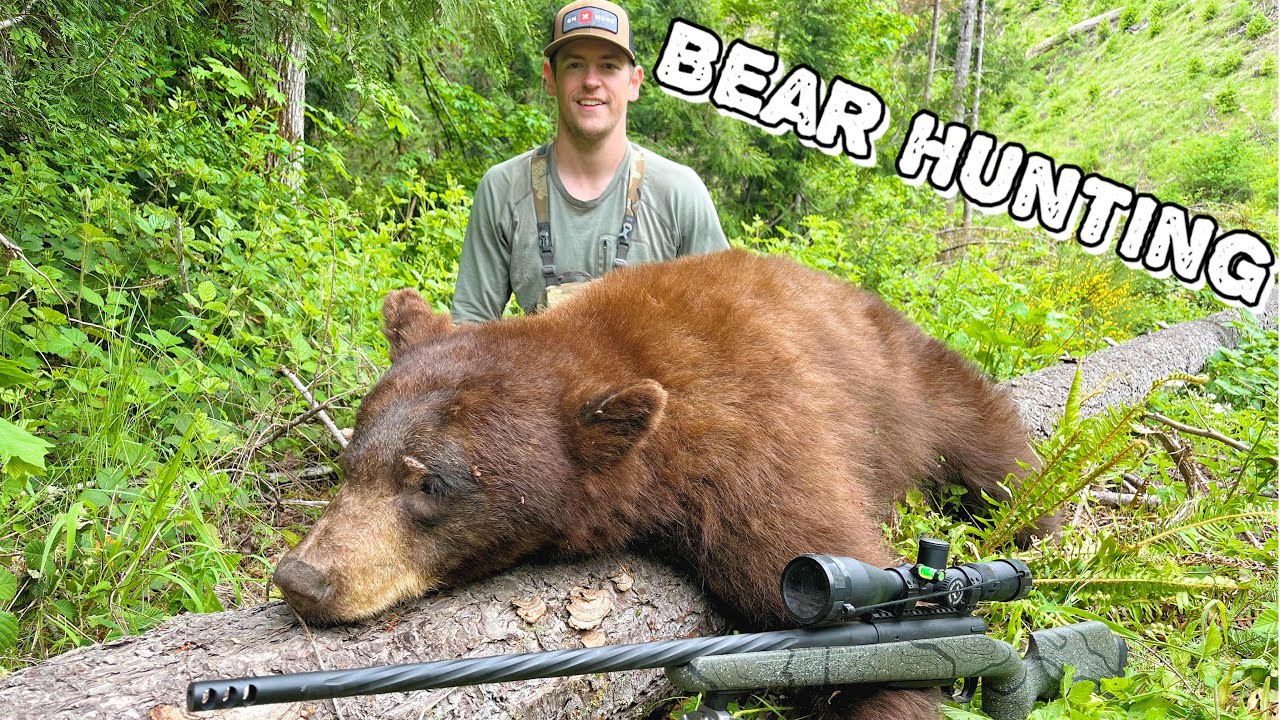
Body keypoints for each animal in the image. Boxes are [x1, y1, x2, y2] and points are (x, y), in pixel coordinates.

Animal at [272, 248, 1044, 720]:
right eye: (352, 463)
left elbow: (863, 631)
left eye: (429, 484)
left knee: (986, 442)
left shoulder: (756, 452)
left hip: (906, 377)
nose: (303, 578)